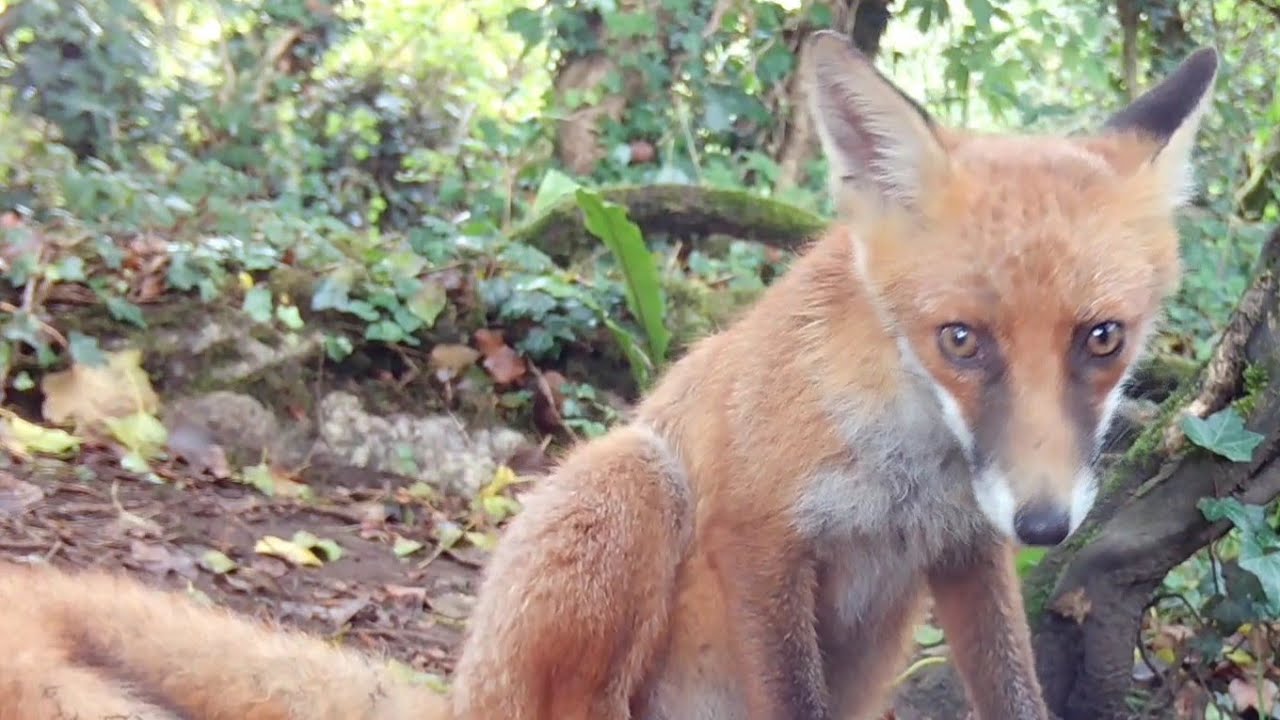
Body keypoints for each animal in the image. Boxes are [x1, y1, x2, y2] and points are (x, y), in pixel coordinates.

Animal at [449, 32, 1219, 720]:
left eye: (1104, 338)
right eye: (960, 340)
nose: (1044, 524)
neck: (909, 477)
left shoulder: (969, 551)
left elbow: (1015, 691)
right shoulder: (757, 541)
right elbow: (793, 698)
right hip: (635, 479)